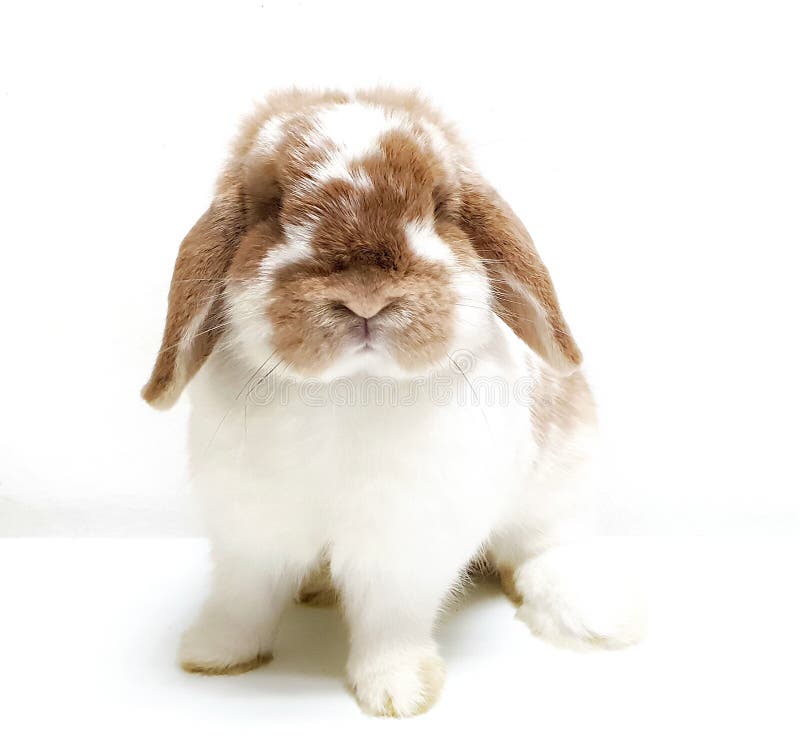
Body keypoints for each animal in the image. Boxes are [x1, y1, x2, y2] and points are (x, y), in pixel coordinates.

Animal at [142, 88, 645, 717]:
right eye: (273, 208)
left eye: (440, 207)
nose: (365, 295)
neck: (347, 390)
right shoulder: (251, 530)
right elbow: (244, 598)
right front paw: (214, 654)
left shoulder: (405, 541)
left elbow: (389, 619)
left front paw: (398, 691)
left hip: (560, 484)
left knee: (545, 550)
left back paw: (595, 619)